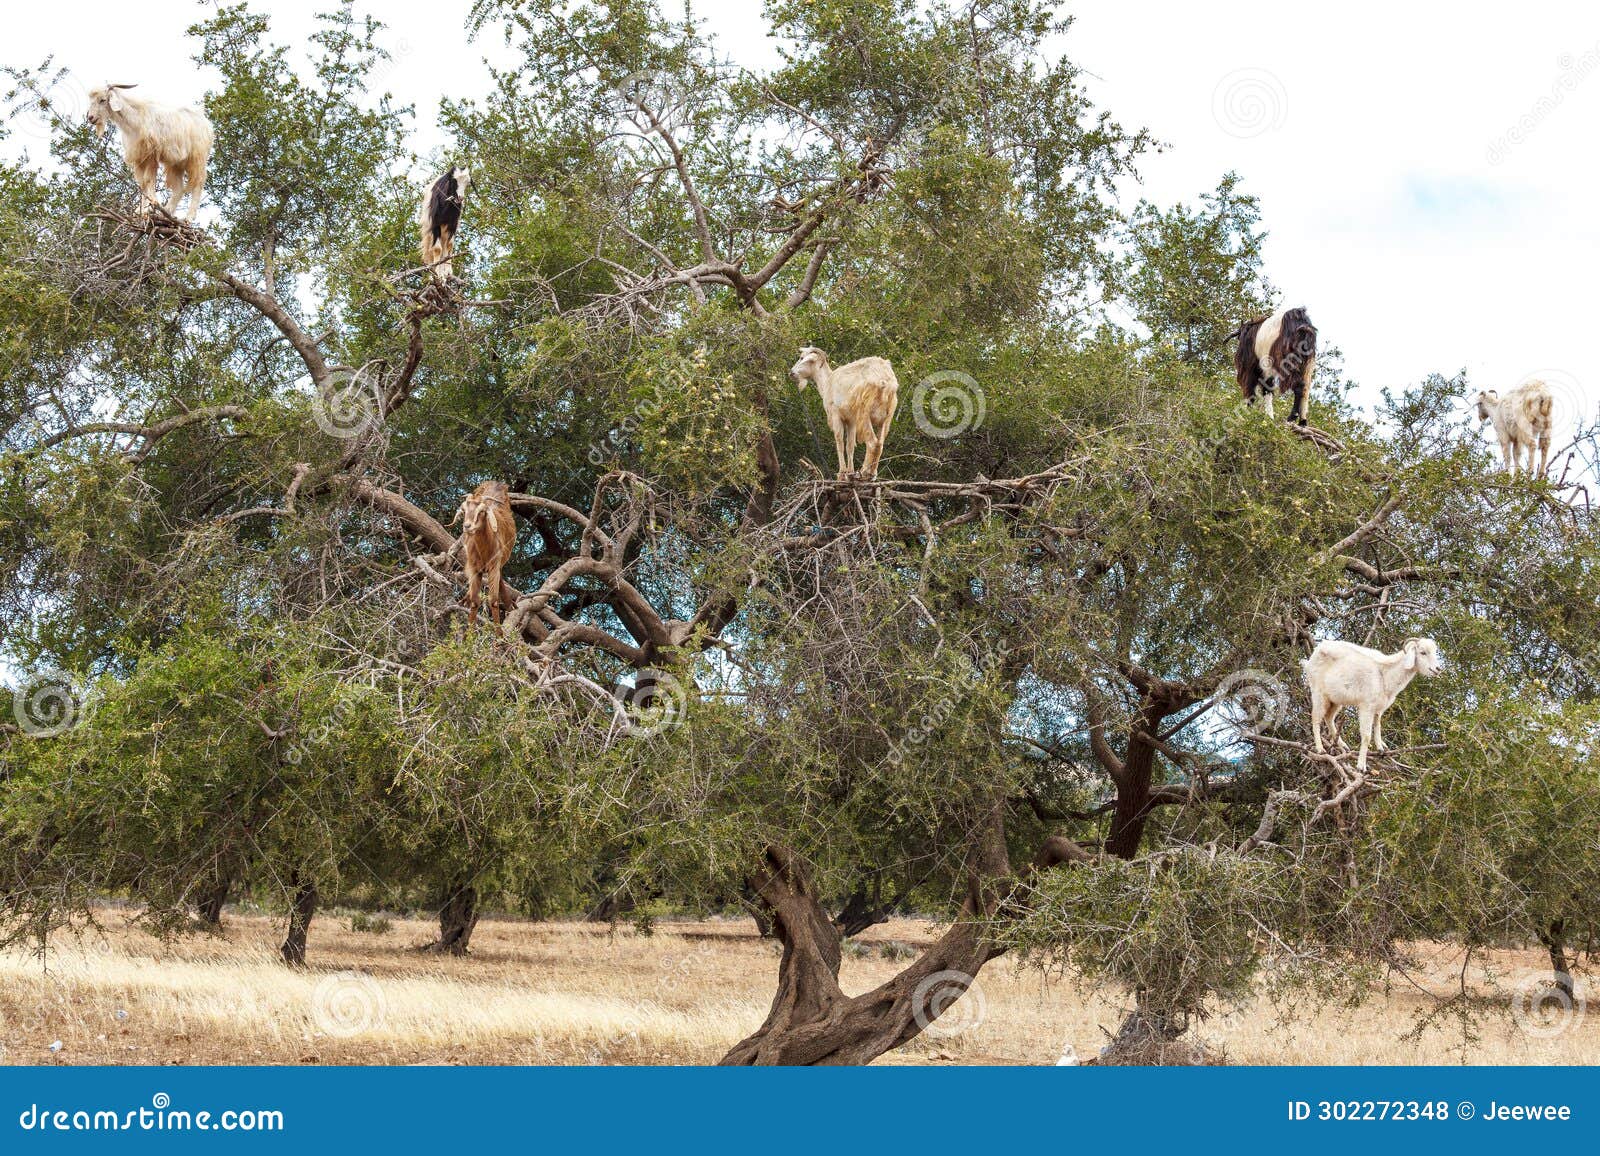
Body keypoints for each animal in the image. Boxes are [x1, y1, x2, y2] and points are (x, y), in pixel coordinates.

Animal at [85, 85, 212, 221]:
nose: (90, 118)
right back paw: (166, 212)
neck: (136, 120)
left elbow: (148, 180)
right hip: (177, 164)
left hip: (197, 158)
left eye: (102, 100)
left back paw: (189, 217)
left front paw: (150, 207)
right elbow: (142, 183)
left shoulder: (152, 155)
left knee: (199, 182)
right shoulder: (139, 157)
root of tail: (208, 126)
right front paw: (140, 211)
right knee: (179, 189)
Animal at [451, 481, 516, 627]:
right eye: (464, 511)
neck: (485, 551)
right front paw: (468, 632)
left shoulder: (494, 567)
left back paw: (510, 604)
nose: (467, 526)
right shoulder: (475, 568)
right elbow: (475, 602)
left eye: (481, 511)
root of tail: (496, 484)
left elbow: (494, 601)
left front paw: (499, 633)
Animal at [790, 347, 899, 479]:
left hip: (864, 413)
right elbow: (850, 445)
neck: (827, 383)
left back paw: (864, 472)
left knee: (873, 443)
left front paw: (841, 474)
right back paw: (872, 474)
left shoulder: (836, 415)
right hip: (886, 418)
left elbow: (840, 442)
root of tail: (886, 380)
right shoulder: (851, 421)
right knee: (880, 444)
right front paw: (849, 472)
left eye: (801, 358)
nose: (791, 373)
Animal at [1301, 637, 1443, 771]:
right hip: (1319, 693)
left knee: (1329, 717)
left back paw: (1344, 746)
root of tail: (1314, 655)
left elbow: (1378, 727)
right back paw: (1320, 749)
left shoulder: (1379, 709)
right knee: (1316, 718)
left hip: (1336, 699)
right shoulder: (1366, 707)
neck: (1385, 674)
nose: (1438, 669)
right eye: (1423, 652)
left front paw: (1381, 749)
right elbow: (1366, 736)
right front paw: (1361, 766)